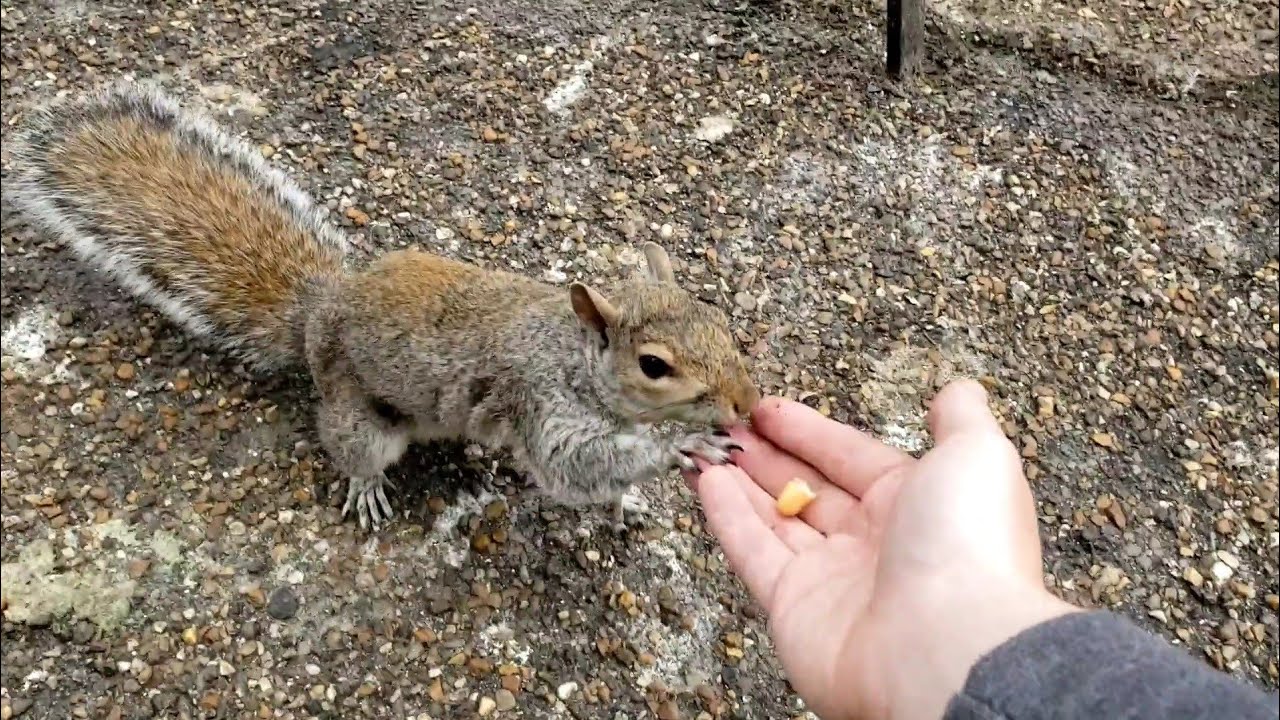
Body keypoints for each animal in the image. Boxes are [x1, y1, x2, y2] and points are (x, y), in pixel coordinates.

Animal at [7, 79, 759, 531]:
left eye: (721, 321)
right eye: (654, 365)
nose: (747, 405)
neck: (573, 355)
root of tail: (320, 310)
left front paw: (630, 499)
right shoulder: (539, 402)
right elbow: (571, 463)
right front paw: (680, 445)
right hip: (358, 412)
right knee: (352, 447)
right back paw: (366, 487)